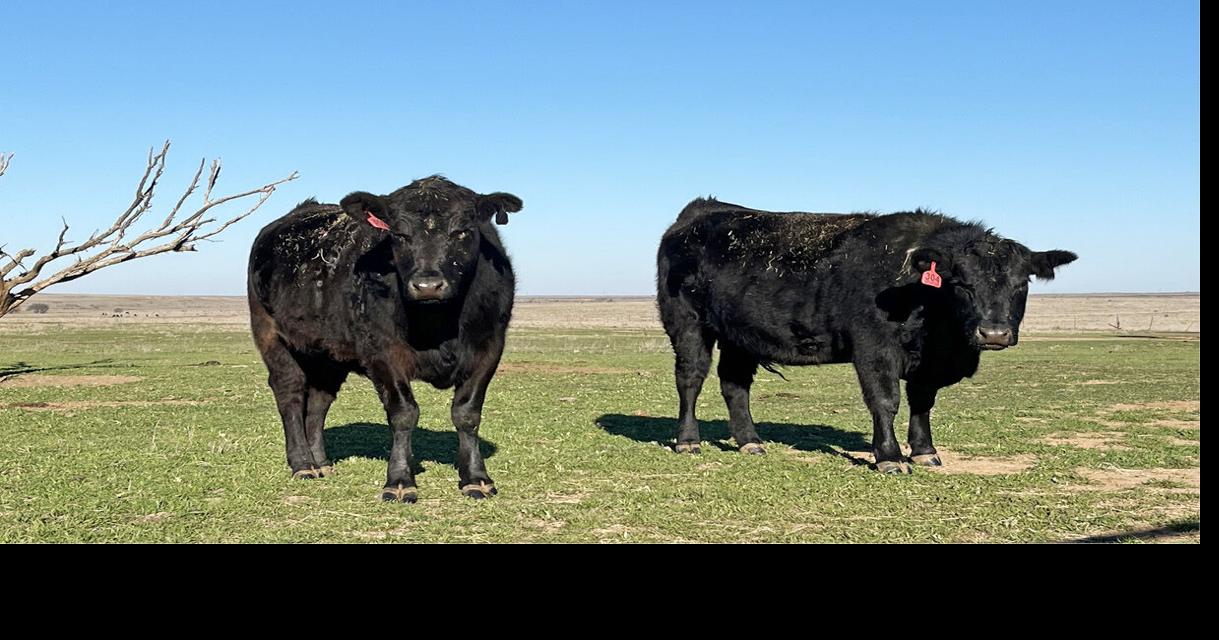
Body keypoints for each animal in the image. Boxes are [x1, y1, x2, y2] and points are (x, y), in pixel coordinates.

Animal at [247, 176, 523, 502]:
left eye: (462, 231)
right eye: (399, 234)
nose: (427, 285)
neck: (439, 325)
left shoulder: (488, 350)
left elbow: (466, 414)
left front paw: (476, 478)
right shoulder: (383, 352)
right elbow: (404, 413)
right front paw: (400, 480)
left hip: (327, 354)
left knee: (318, 401)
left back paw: (321, 462)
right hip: (270, 333)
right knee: (290, 392)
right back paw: (303, 463)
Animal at [656, 199, 1076, 473]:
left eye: (1021, 284)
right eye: (960, 284)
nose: (994, 332)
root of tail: (701, 210)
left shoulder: (927, 365)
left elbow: (922, 403)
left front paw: (924, 451)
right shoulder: (875, 348)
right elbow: (886, 401)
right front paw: (890, 458)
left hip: (741, 335)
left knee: (734, 385)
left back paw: (750, 442)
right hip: (688, 324)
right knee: (690, 380)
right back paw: (688, 441)